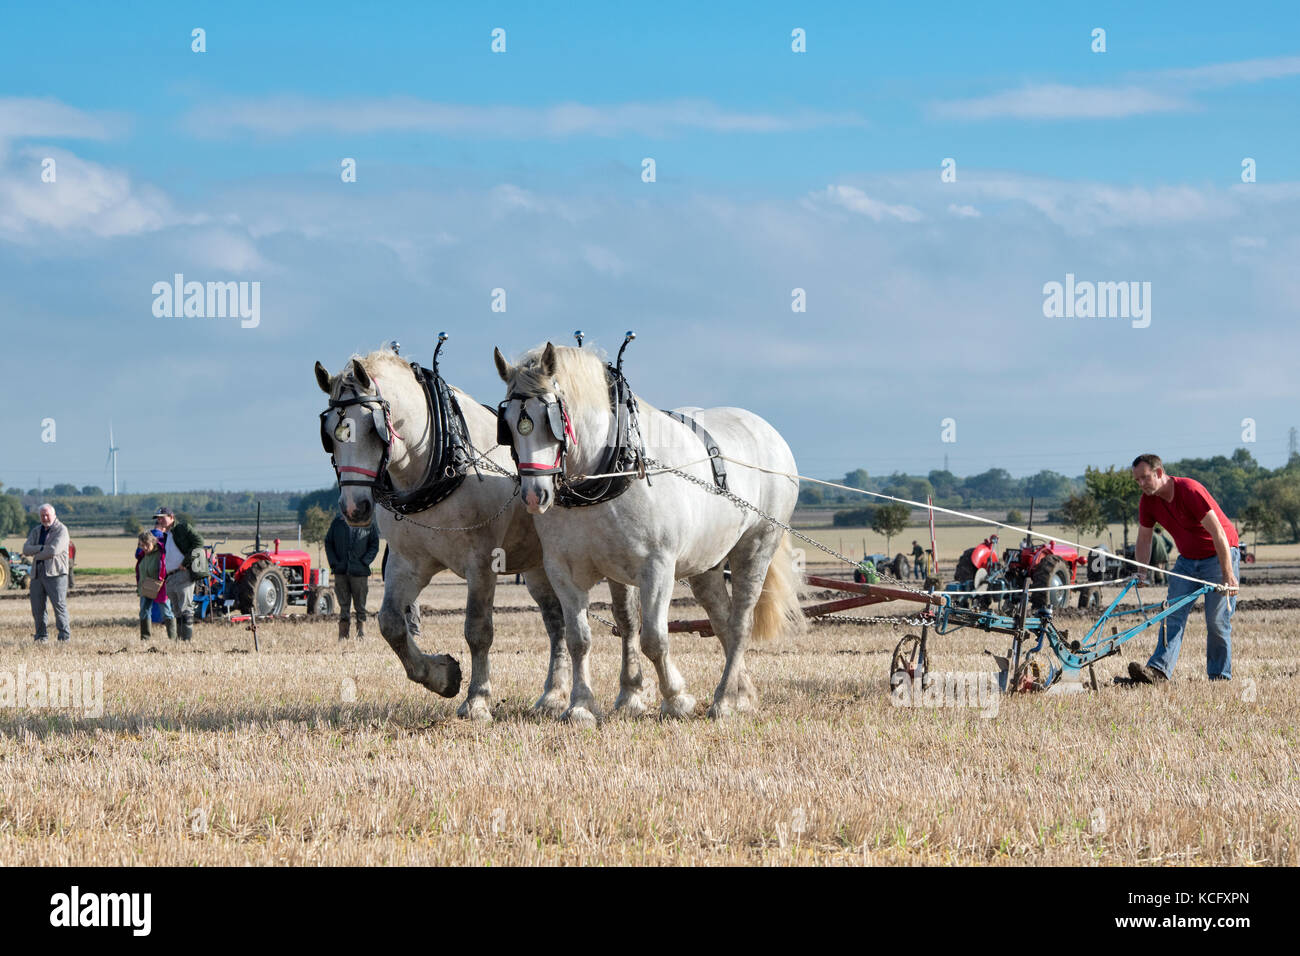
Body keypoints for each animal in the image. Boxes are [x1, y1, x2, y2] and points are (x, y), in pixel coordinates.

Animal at [315, 346, 649, 721]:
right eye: (329, 434)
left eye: (373, 430)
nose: (353, 508)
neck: (438, 461)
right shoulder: (407, 562)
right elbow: (391, 624)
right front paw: (442, 676)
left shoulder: (481, 563)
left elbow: (477, 631)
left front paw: (477, 700)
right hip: (539, 568)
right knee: (557, 623)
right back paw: (553, 695)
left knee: (626, 619)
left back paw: (630, 695)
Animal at [493, 340, 805, 723]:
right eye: (507, 424)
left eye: (549, 419)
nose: (534, 495)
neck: (610, 470)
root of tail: (767, 431)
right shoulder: (563, 570)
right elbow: (580, 638)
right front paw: (581, 706)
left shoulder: (657, 567)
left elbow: (654, 639)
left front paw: (675, 699)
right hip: (706, 564)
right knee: (722, 620)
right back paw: (740, 694)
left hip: (756, 548)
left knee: (740, 623)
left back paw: (722, 701)